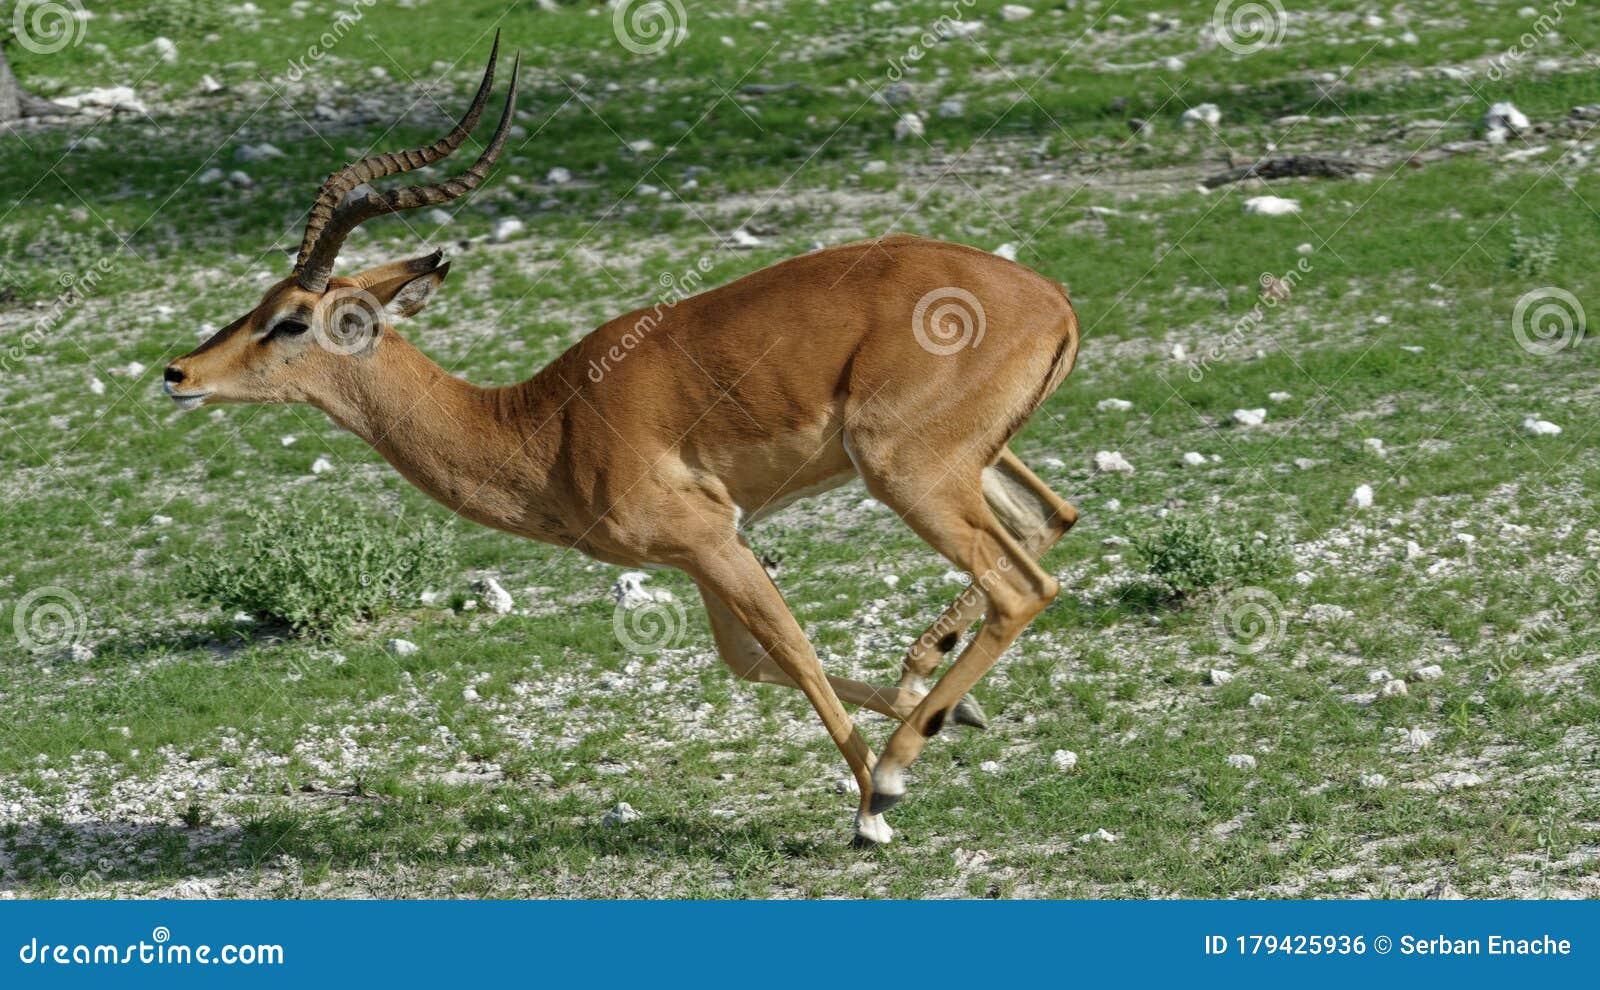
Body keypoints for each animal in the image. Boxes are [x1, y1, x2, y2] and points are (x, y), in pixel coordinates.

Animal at [163, 37, 1080, 845]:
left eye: (291, 319)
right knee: (1052, 519)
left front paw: (871, 810)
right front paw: (954, 716)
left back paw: (890, 774)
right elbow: (752, 660)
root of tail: (1054, 301)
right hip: (968, 466)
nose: (177, 371)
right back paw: (932, 694)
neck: (545, 427)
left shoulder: (709, 538)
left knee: (1022, 585)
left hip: (903, 472)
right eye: (260, 300)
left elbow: (792, 650)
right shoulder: (707, 549)